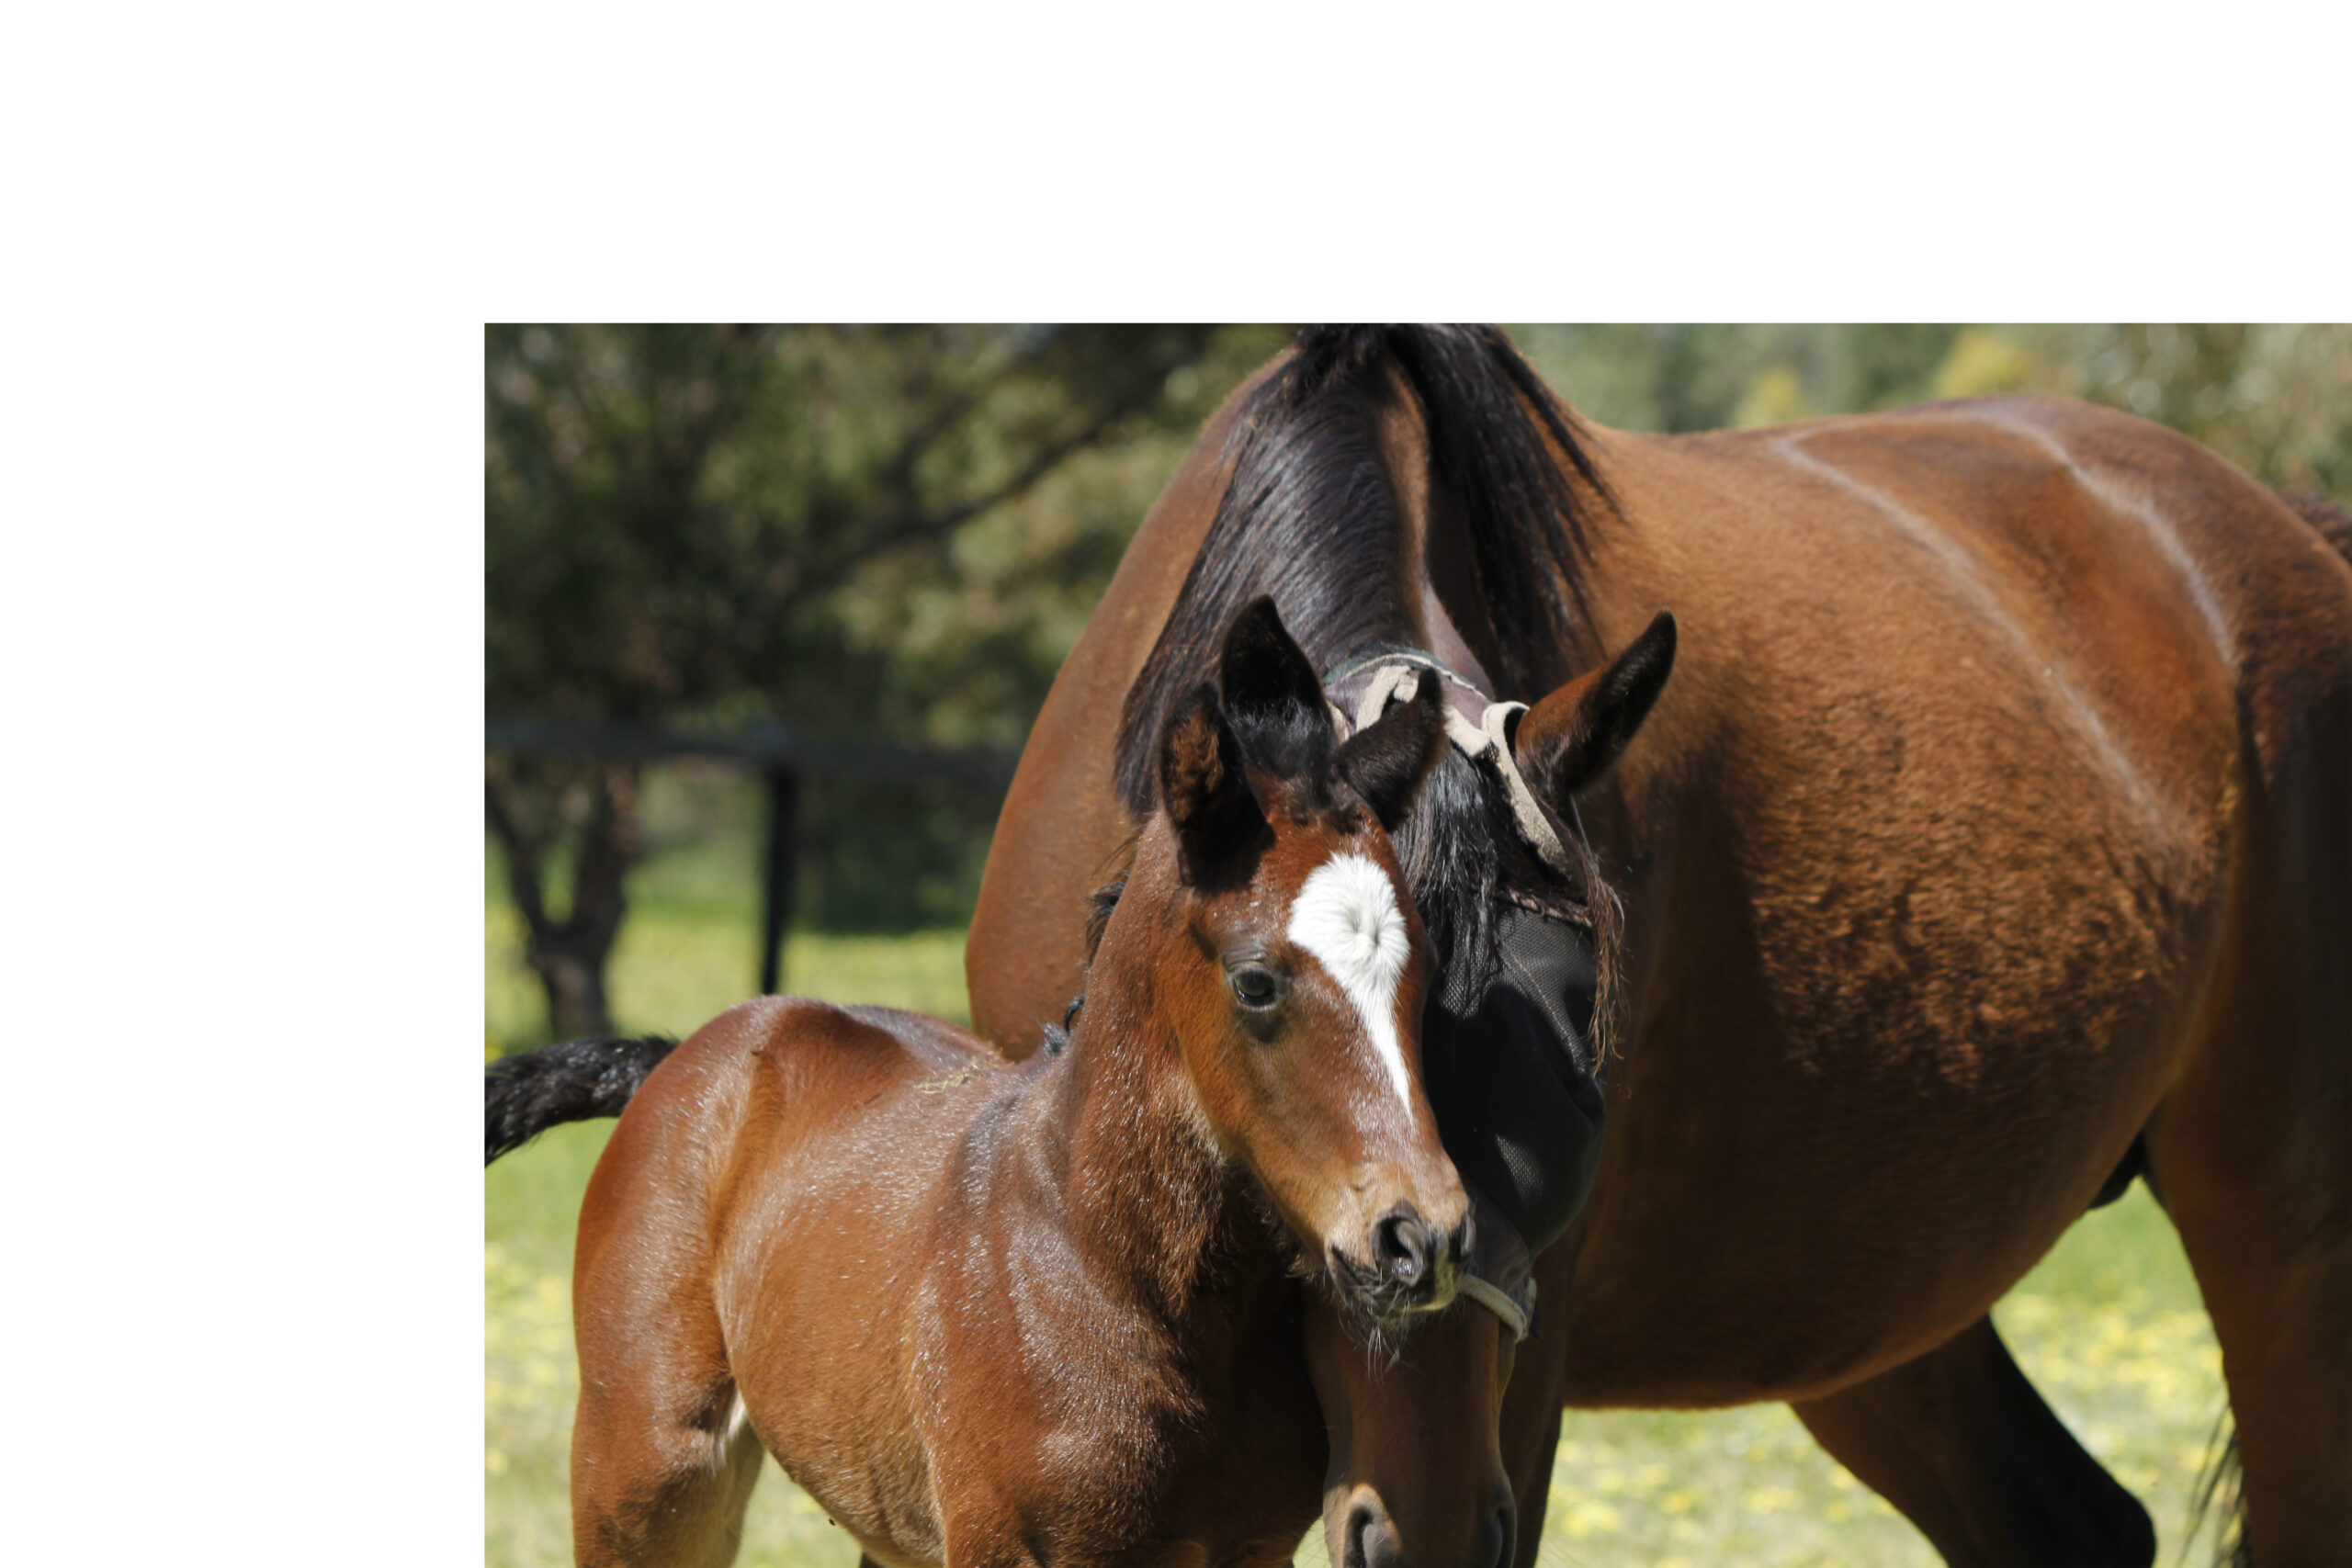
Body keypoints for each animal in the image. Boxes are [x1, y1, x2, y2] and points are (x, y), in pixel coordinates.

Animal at [486, 598, 1550, 1568]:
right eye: (1255, 981)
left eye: (1420, 977)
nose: (1422, 1238)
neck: (1103, 1271)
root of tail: (682, 1055)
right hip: (645, 1475)